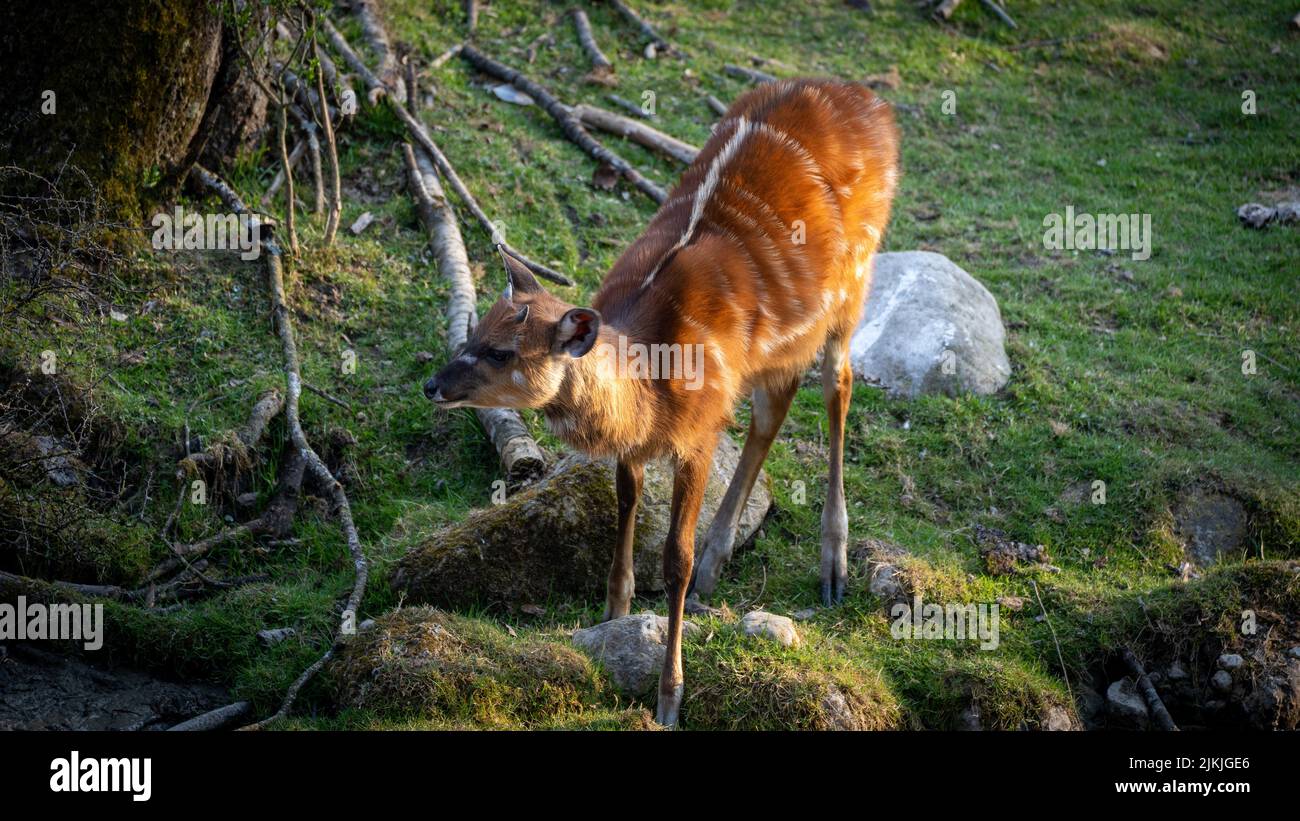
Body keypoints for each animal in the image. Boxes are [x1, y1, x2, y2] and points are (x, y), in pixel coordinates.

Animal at [423, 78, 899, 726]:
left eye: (501, 352)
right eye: (472, 333)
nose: (433, 386)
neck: (651, 371)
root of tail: (874, 103)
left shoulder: (697, 432)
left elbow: (675, 558)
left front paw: (669, 697)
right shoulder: (642, 441)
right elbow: (625, 502)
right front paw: (613, 615)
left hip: (854, 282)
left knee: (838, 386)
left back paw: (833, 569)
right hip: (787, 340)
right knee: (773, 407)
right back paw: (720, 566)